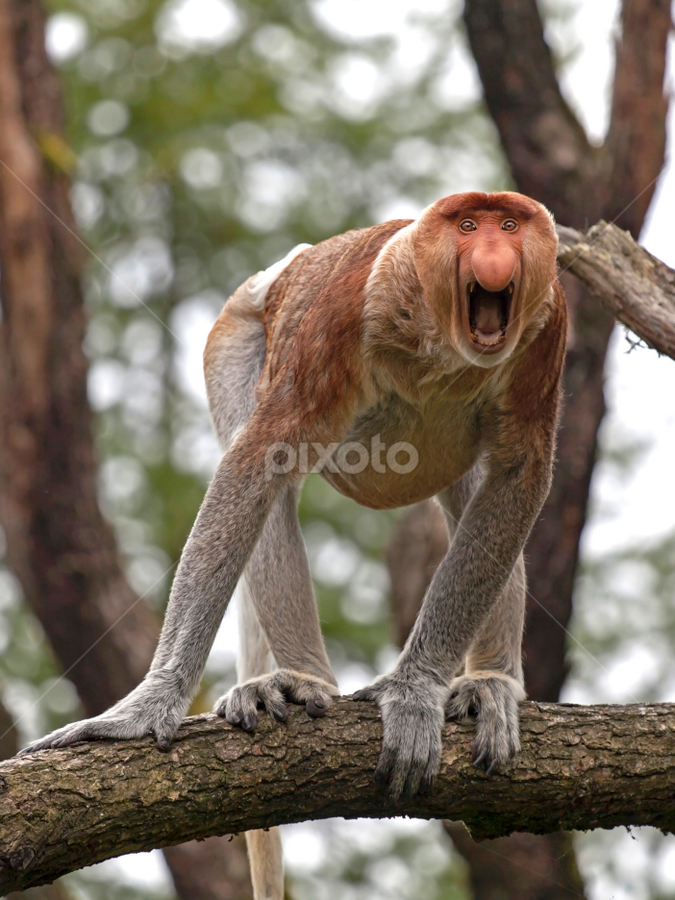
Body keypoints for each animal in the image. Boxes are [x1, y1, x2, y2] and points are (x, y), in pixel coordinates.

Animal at [23, 192, 568, 900]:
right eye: (469, 226)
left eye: (510, 224)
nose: (496, 255)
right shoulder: (335, 321)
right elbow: (255, 462)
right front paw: (149, 706)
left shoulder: (548, 324)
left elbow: (519, 474)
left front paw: (416, 689)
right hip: (239, 333)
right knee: (266, 475)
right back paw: (302, 683)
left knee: (480, 489)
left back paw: (491, 685)